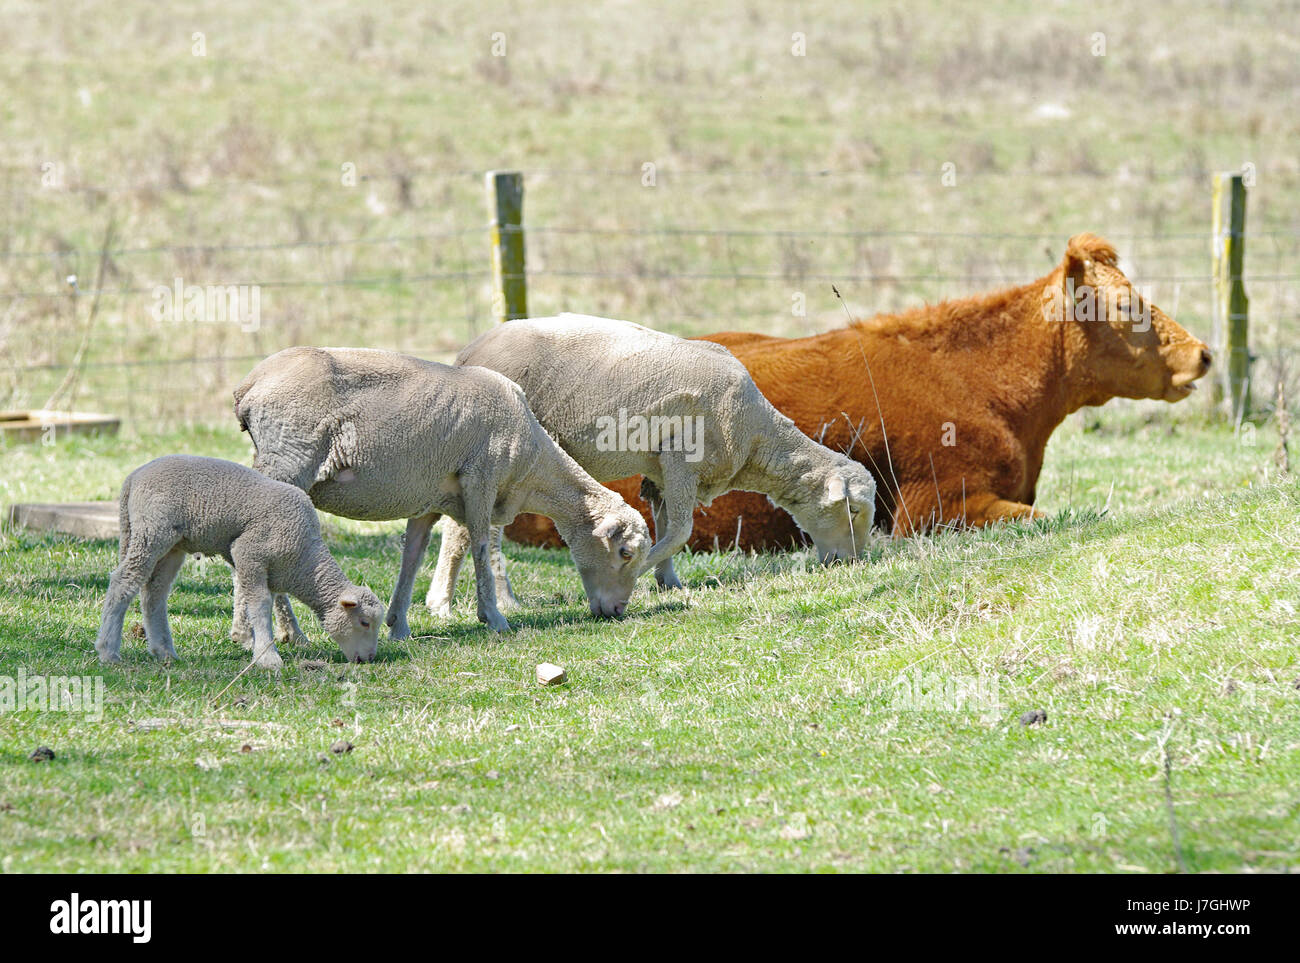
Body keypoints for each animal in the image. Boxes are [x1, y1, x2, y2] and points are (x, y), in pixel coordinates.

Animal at [94, 455, 385, 669]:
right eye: (364, 622)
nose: (369, 659)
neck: (304, 561)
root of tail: (133, 478)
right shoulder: (248, 551)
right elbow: (261, 604)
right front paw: (267, 657)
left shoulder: (264, 568)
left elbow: (252, 600)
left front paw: (252, 641)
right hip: (152, 532)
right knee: (123, 582)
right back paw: (108, 651)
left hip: (173, 545)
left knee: (154, 592)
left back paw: (164, 652)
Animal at [232, 346, 651, 638]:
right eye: (625, 552)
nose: (618, 611)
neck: (530, 470)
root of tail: (248, 386)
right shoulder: (480, 478)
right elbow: (480, 546)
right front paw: (494, 618)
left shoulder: (428, 500)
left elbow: (412, 558)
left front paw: (399, 625)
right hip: (289, 460)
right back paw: (288, 634)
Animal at [427, 313, 876, 612]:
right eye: (853, 509)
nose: (853, 563)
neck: (756, 438)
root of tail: (465, 356)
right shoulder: (681, 458)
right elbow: (679, 531)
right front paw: (642, 571)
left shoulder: (659, 470)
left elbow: (662, 519)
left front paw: (668, 581)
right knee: (474, 531)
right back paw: (479, 601)